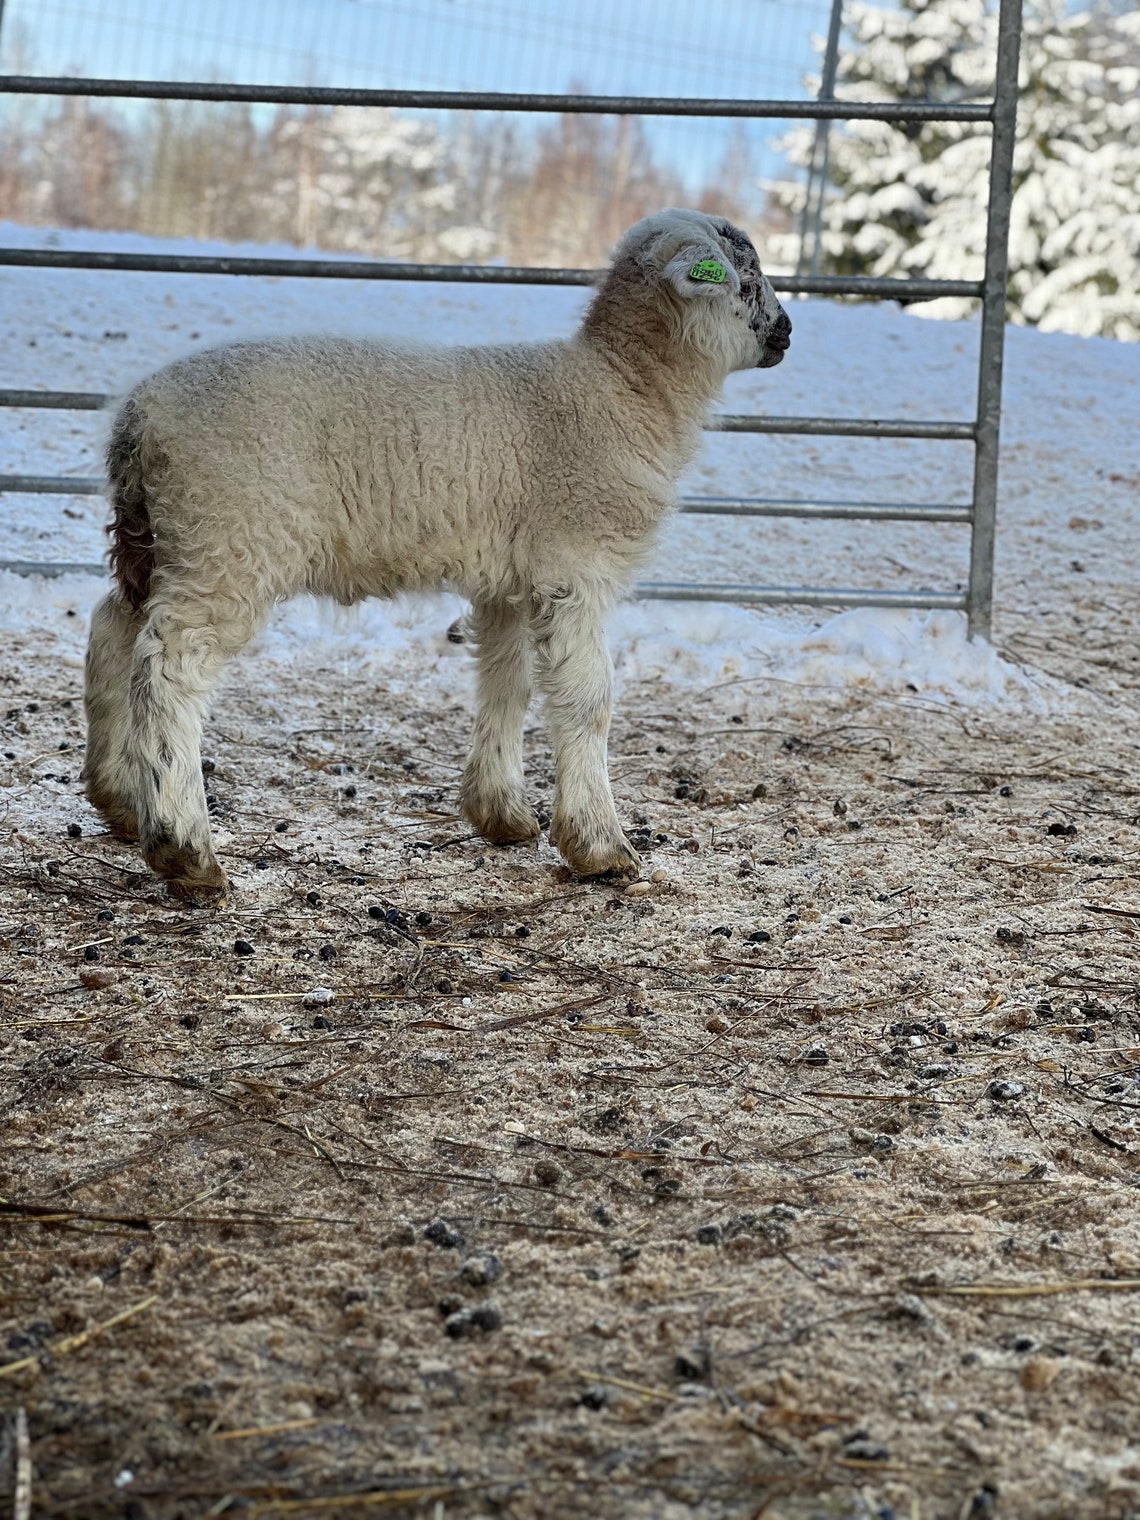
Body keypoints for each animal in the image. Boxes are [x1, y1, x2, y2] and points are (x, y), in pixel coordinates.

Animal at [83, 208, 792, 905]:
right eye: (745, 277)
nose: (787, 330)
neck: (624, 387)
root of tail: (140, 414)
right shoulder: (575, 567)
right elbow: (588, 701)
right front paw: (600, 847)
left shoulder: (513, 580)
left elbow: (507, 683)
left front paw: (501, 813)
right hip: (229, 537)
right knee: (170, 664)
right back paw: (183, 847)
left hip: (158, 536)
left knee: (113, 628)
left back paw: (118, 796)